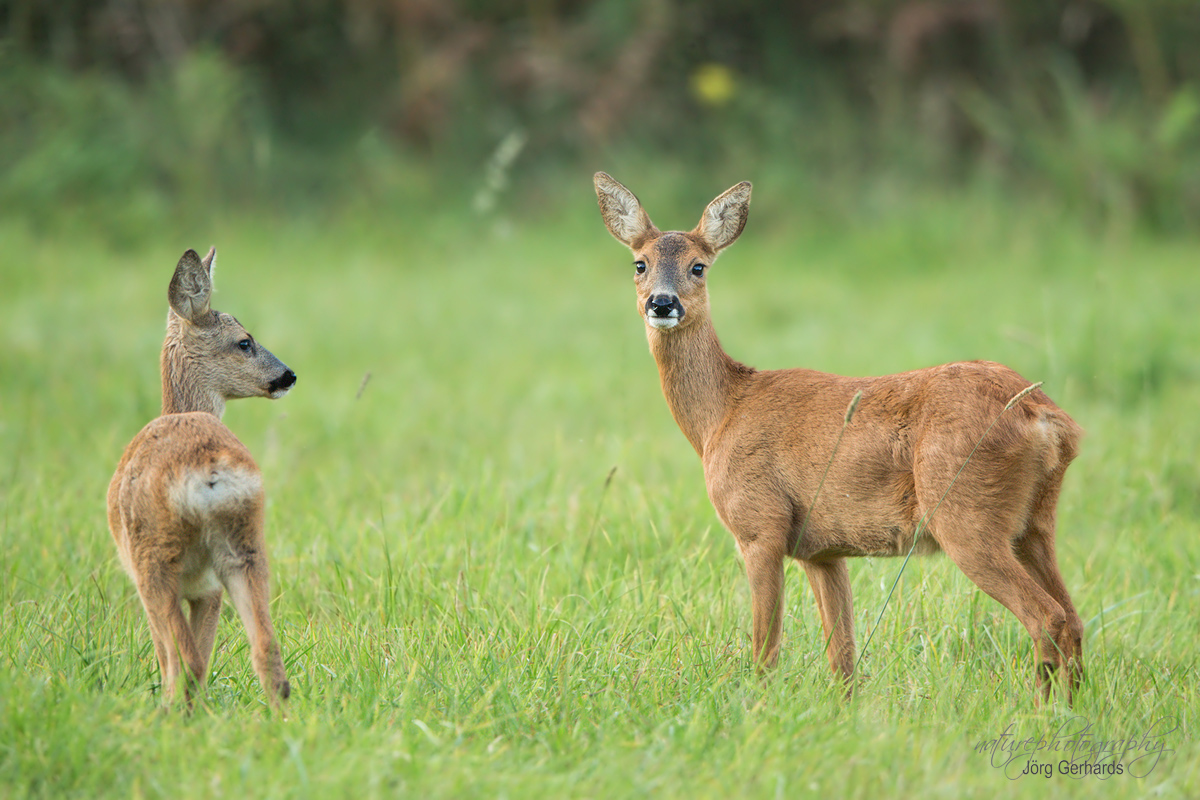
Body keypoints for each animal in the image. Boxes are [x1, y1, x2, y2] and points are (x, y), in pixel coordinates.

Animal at [107, 247, 296, 708]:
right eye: (245, 341)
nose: (288, 375)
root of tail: (209, 470)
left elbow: (169, 656)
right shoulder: (208, 589)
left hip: (153, 559)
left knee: (184, 662)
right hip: (245, 547)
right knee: (267, 652)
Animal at [593, 172, 1084, 702]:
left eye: (698, 267)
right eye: (640, 264)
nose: (662, 303)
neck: (721, 415)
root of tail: (1047, 418)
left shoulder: (759, 525)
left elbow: (766, 649)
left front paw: (759, 705)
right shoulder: (822, 551)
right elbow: (842, 658)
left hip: (965, 512)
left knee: (1047, 616)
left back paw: (1042, 709)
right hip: (1034, 523)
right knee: (1075, 617)